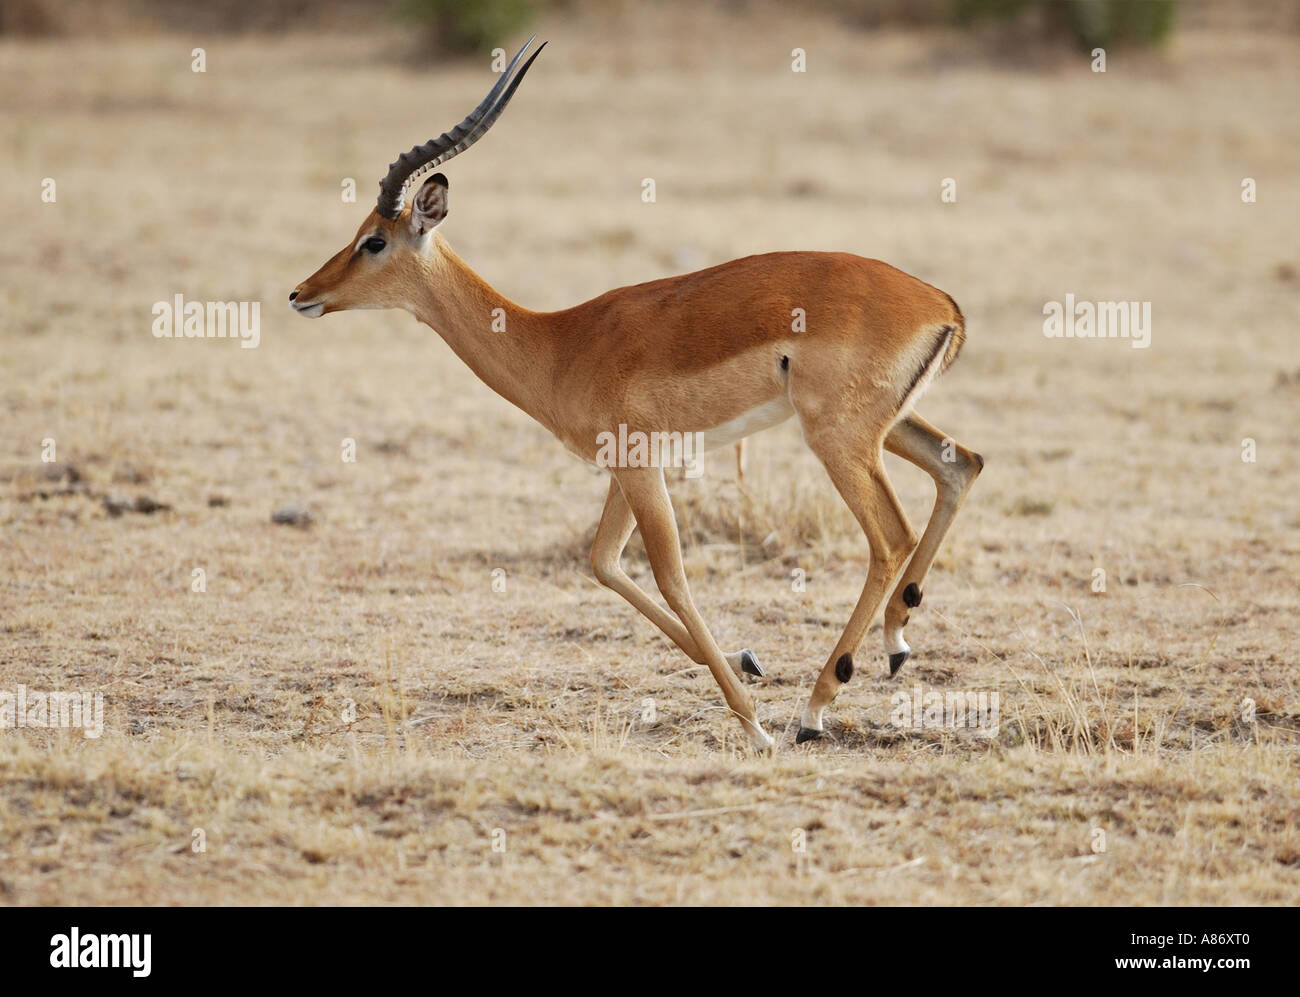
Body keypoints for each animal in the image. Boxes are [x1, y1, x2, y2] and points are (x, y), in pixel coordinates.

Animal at [290, 38, 983, 749]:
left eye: (374, 240)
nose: (300, 294)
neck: (559, 344)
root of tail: (942, 304)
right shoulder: (626, 470)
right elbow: (603, 563)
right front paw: (747, 661)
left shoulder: (641, 466)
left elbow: (669, 576)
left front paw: (753, 724)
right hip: (882, 427)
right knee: (961, 464)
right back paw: (895, 644)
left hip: (837, 438)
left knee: (890, 536)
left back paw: (815, 709)